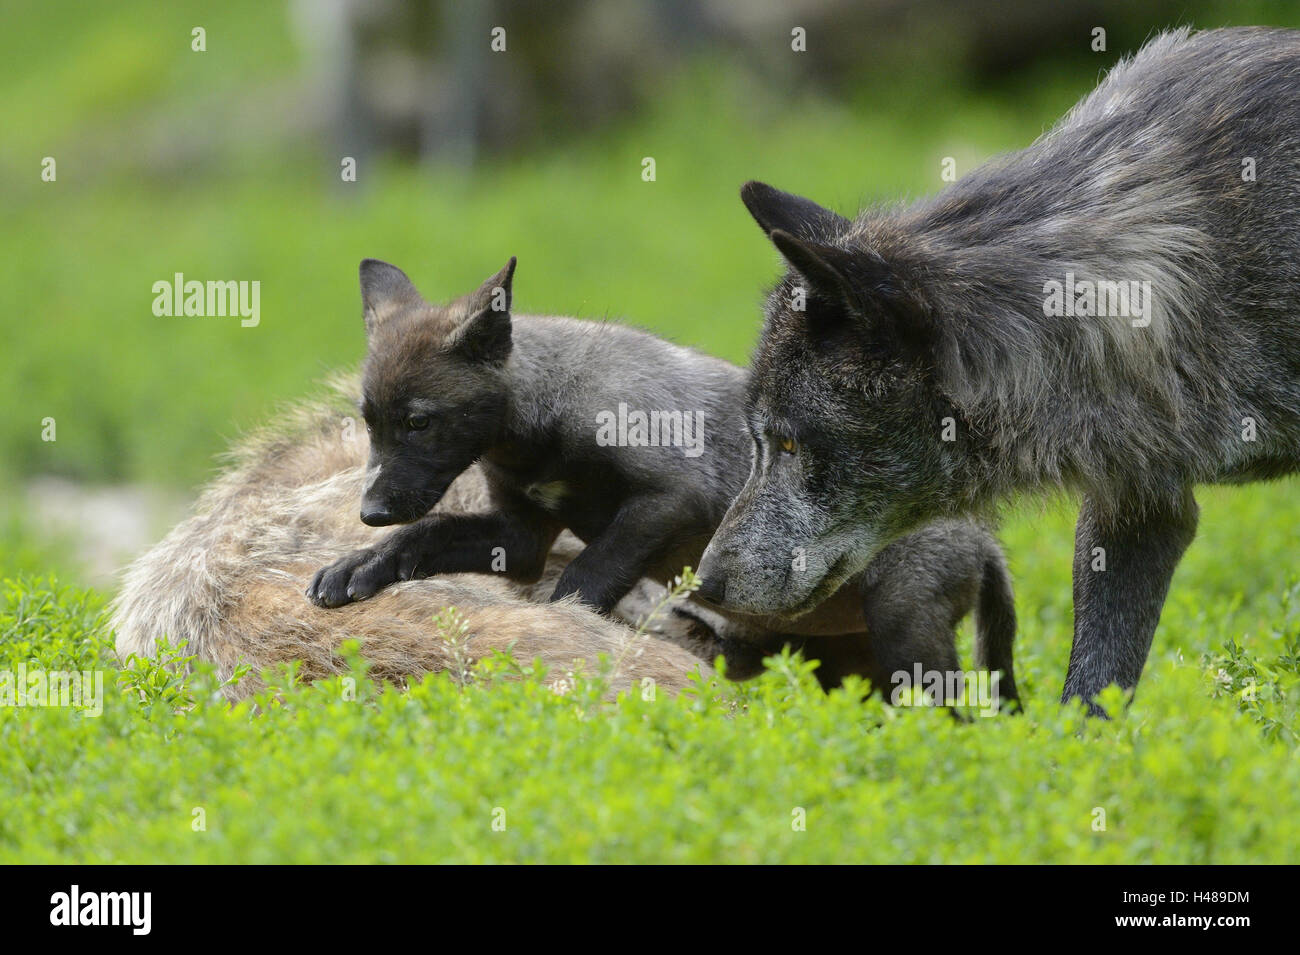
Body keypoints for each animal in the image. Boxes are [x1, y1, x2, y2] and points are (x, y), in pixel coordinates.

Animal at [303, 258, 1019, 702]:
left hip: (906, 639)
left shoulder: (670, 500)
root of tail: (986, 540)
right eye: (369, 423)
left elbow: (582, 583)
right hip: (854, 665)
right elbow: (426, 534)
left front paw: (574, 643)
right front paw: (360, 564)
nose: (368, 511)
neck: (543, 422)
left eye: (420, 423)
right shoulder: (519, 537)